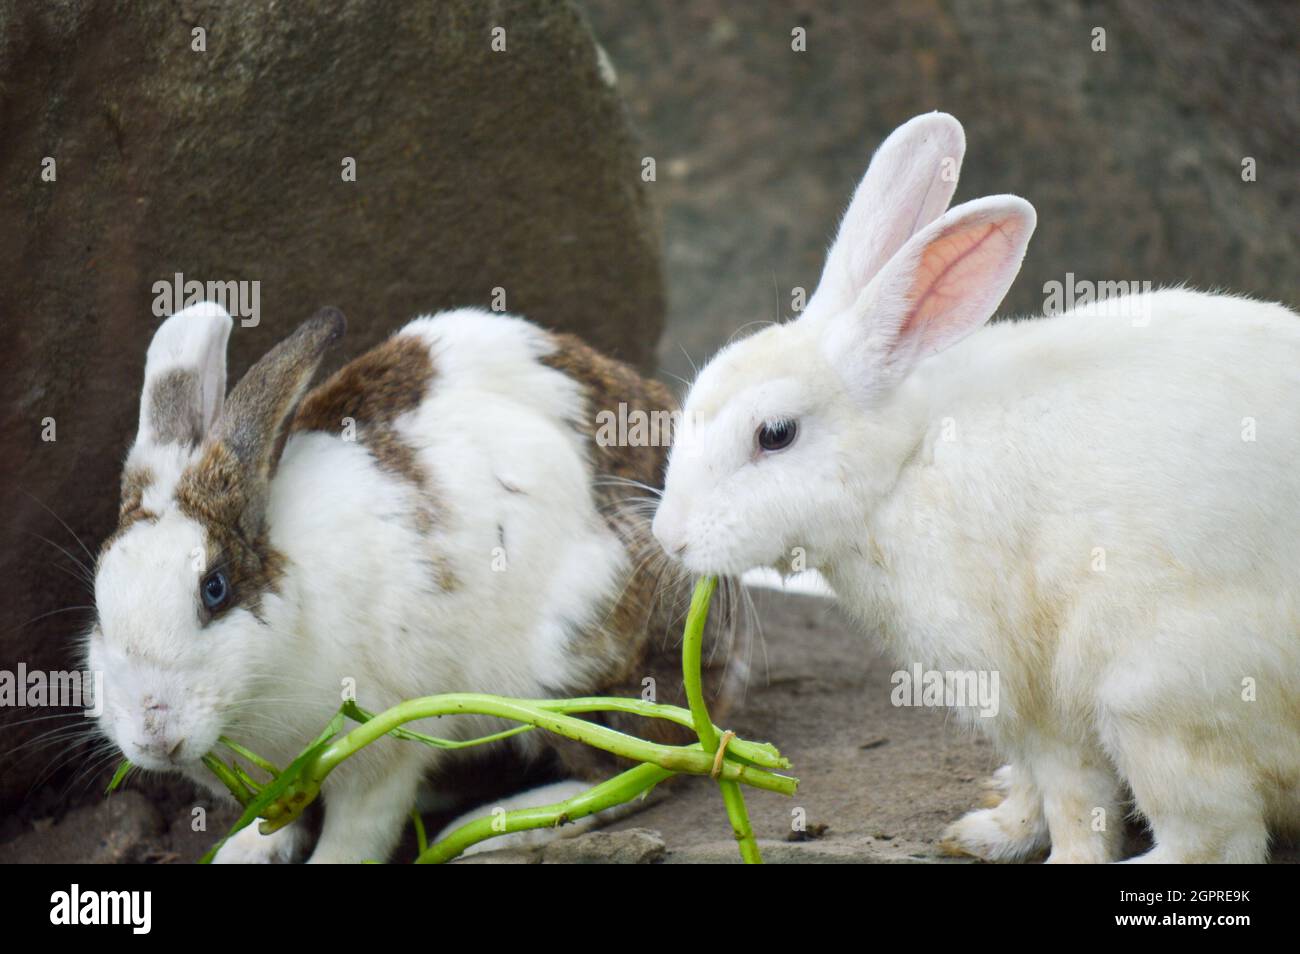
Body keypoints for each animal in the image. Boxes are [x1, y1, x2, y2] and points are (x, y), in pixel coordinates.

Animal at [86, 300, 744, 863]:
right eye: (99, 603)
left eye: (214, 588)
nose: (153, 734)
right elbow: (278, 821)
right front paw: (243, 851)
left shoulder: (383, 753)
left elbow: (355, 836)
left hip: (582, 655)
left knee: (643, 769)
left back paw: (499, 826)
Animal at [652, 111, 1300, 863]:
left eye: (776, 434)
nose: (669, 538)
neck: (903, 466)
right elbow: (1034, 789)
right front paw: (985, 833)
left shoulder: (1032, 693)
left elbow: (1074, 799)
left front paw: (1053, 855)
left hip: (1155, 698)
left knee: (1213, 839)